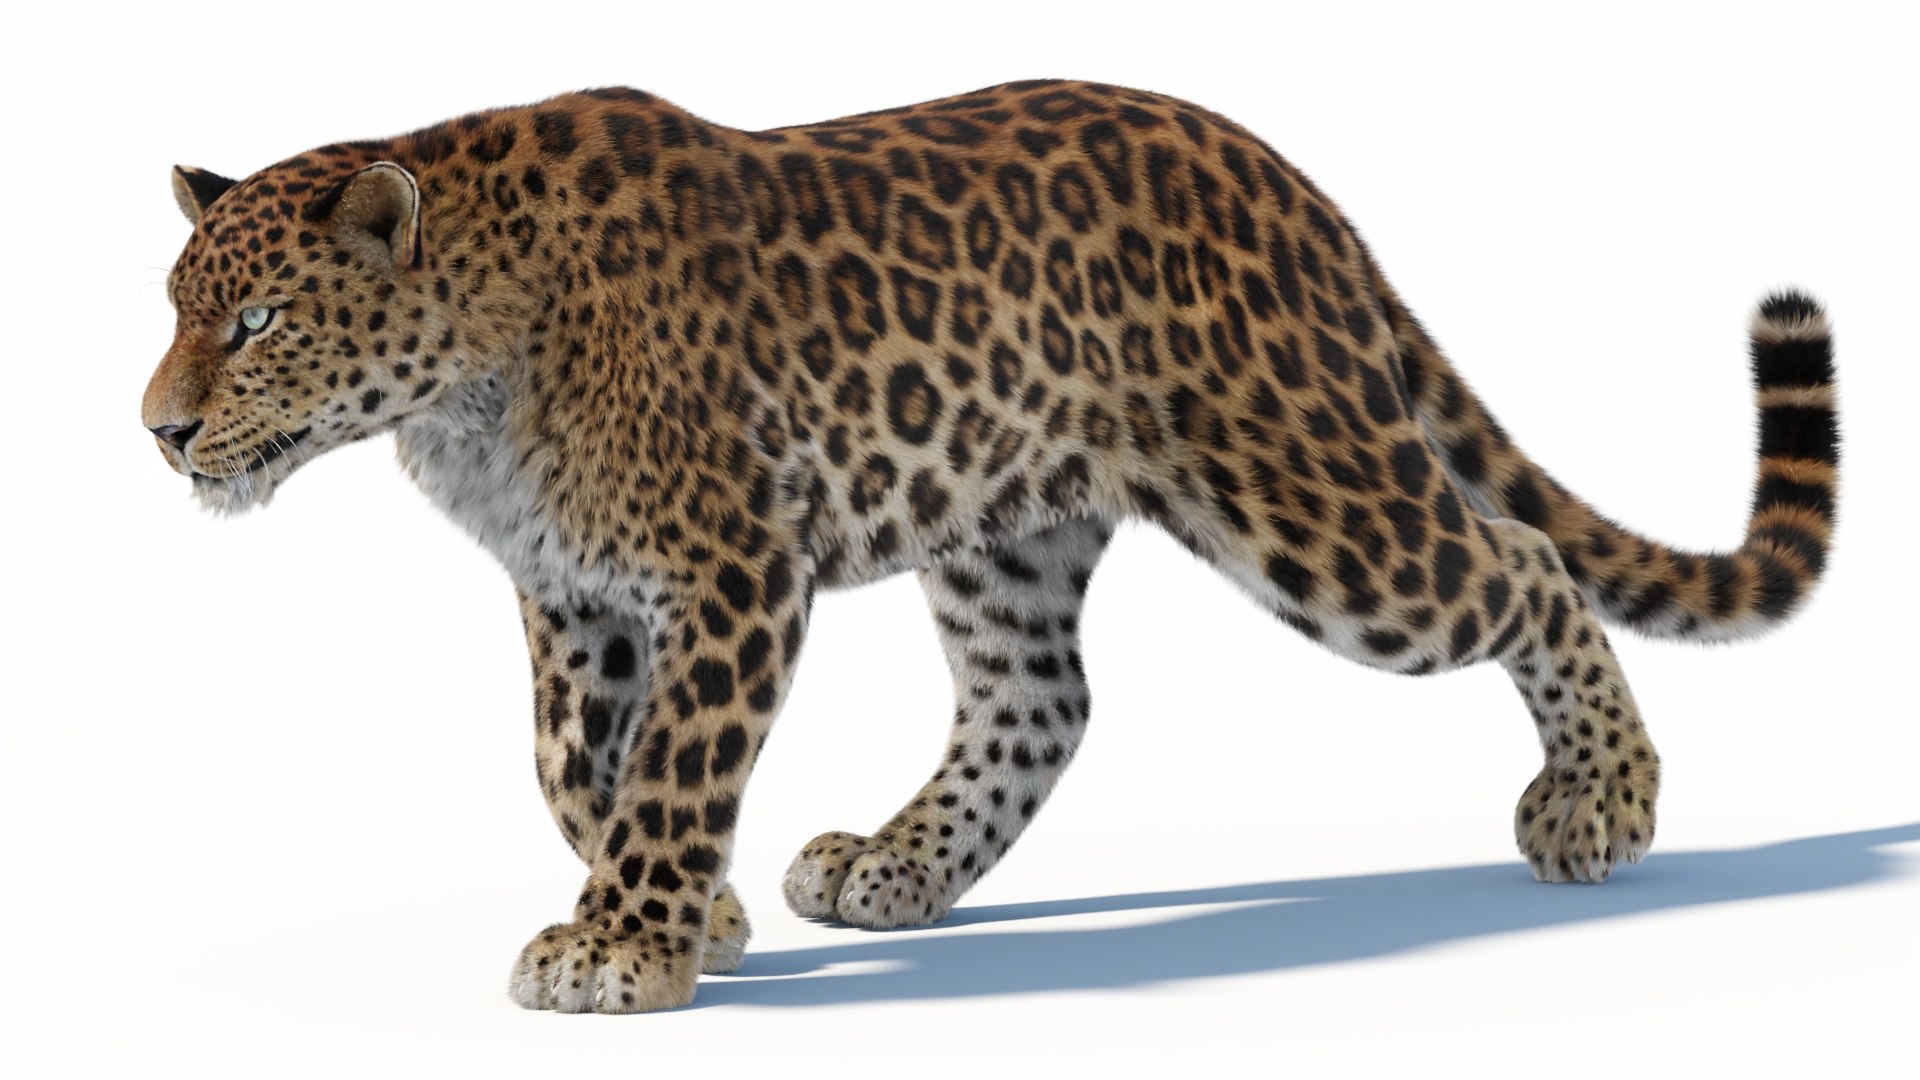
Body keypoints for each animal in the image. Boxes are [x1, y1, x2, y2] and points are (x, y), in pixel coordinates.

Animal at [142, 79, 1839, 1013]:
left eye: (258, 323)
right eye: (174, 308)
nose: (157, 430)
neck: (460, 385)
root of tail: (1289, 183)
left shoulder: (729, 569)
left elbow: (671, 767)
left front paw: (628, 943)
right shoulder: (572, 598)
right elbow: (576, 769)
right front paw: (704, 916)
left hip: (1314, 502)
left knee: (1523, 571)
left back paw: (1603, 803)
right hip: (1007, 532)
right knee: (1042, 703)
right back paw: (889, 867)